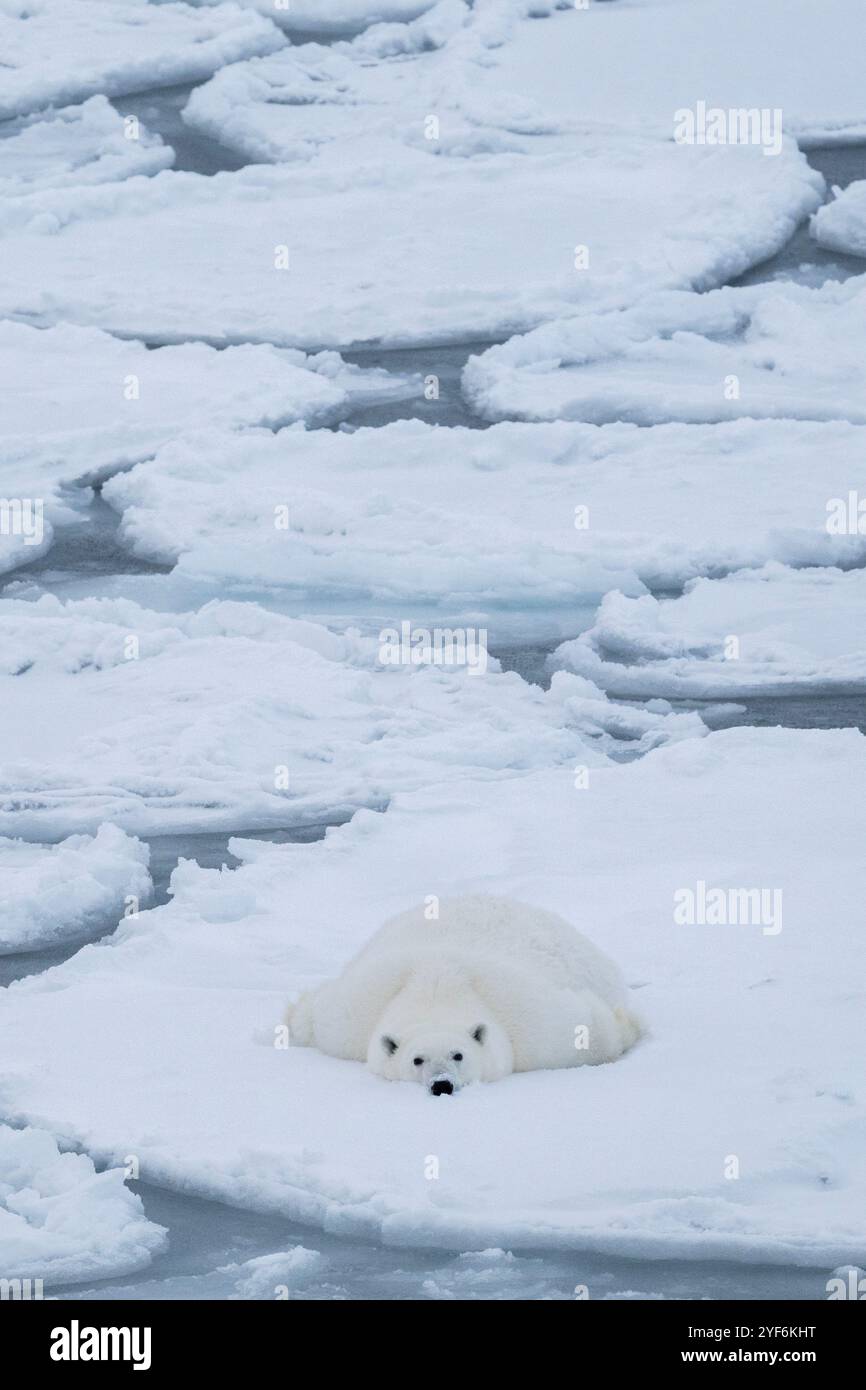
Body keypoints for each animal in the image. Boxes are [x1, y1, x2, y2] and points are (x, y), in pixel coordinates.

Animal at [287, 895, 643, 1094]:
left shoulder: (535, 1026)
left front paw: (627, 1024)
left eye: (458, 1054)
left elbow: (589, 1033)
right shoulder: (351, 1018)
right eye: (417, 1059)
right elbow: (311, 1017)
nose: (442, 1084)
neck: (438, 988)